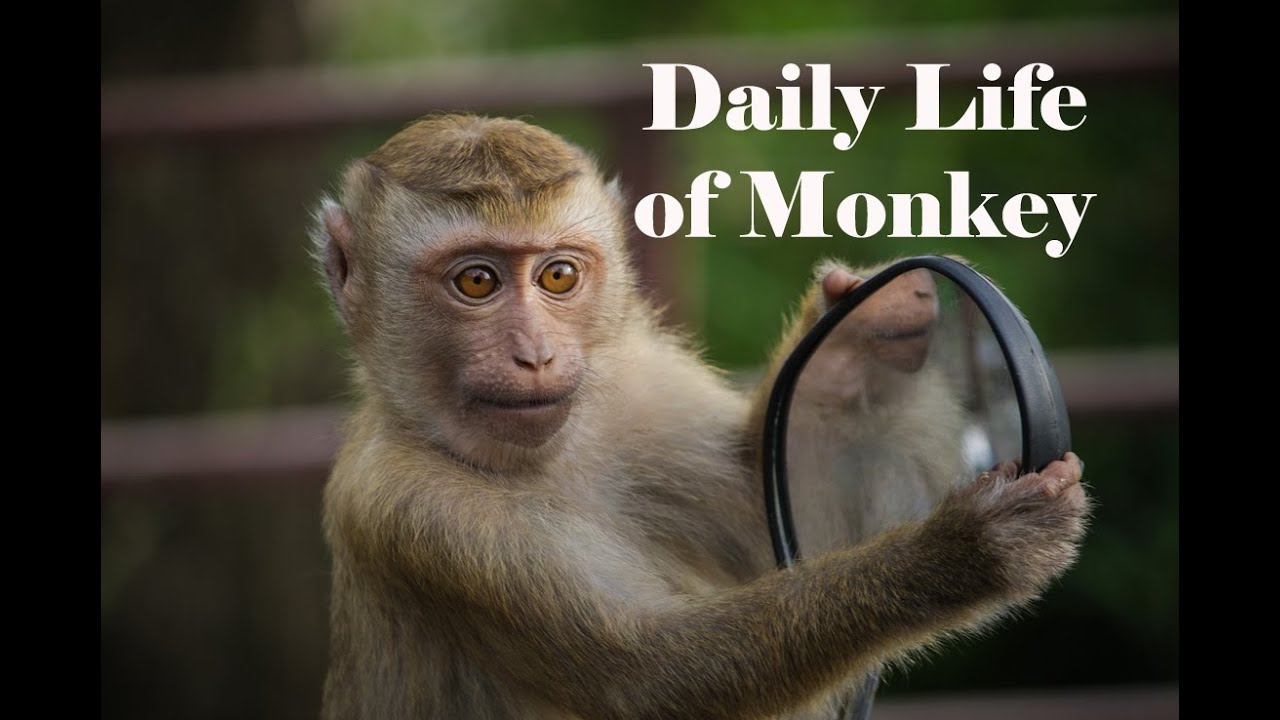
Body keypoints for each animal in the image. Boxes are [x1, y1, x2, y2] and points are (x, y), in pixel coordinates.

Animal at [310, 113, 1089, 720]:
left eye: (559, 275)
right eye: (476, 281)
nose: (535, 354)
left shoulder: (641, 388)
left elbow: (769, 512)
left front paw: (858, 334)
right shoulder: (412, 512)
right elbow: (650, 676)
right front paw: (962, 552)